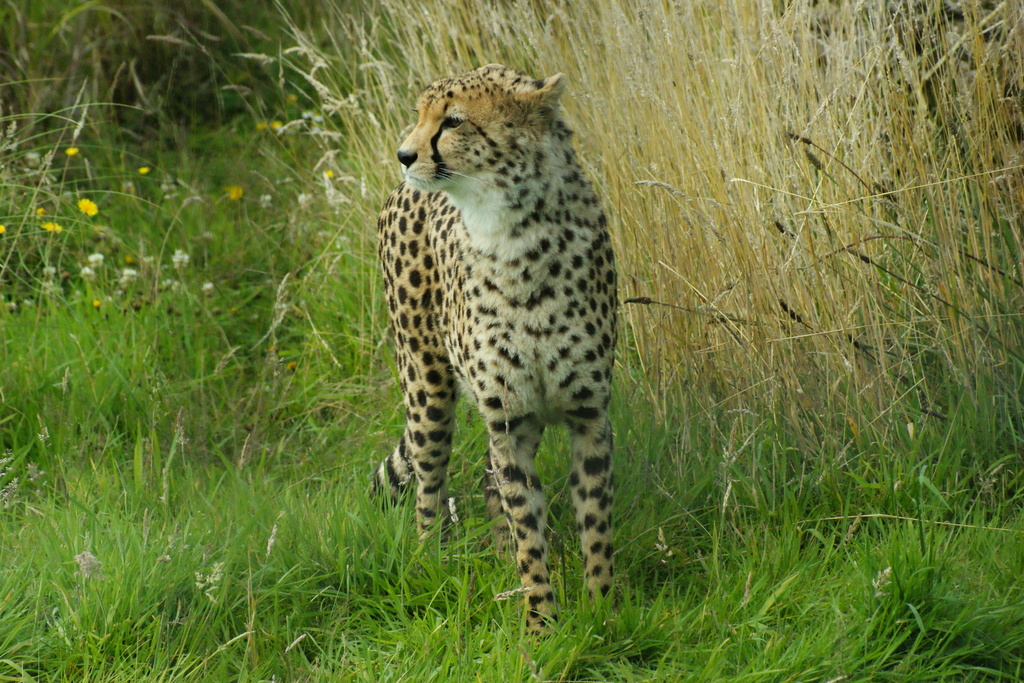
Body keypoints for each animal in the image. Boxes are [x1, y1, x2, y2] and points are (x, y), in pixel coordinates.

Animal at [372, 64, 617, 630]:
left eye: (453, 121)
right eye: (421, 115)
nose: (404, 154)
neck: (515, 236)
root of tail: (401, 193)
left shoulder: (587, 413)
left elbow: (594, 520)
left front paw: (604, 610)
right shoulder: (510, 419)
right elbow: (527, 521)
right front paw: (541, 623)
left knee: (485, 480)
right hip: (427, 389)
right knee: (428, 483)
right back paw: (430, 559)